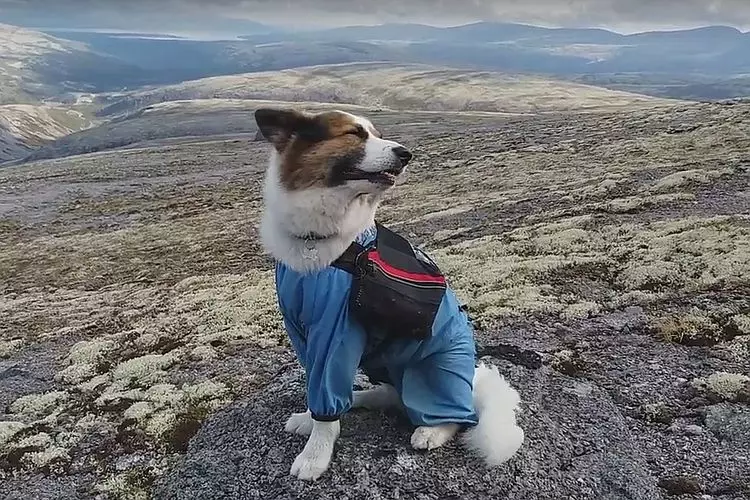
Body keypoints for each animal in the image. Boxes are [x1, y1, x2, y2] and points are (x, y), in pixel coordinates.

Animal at [256, 108, 524, 480]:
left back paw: (431, 430)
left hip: (434, 368)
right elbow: (316, 389)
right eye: (354, 133)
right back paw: (360, 398)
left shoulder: (336, 333)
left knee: (457, 415)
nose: (406, 154)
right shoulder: (302, 332)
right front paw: (310, 420)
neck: (316, 243)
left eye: (377, 134)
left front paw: (314, 457)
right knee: (389, 396)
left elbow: (326, 401)